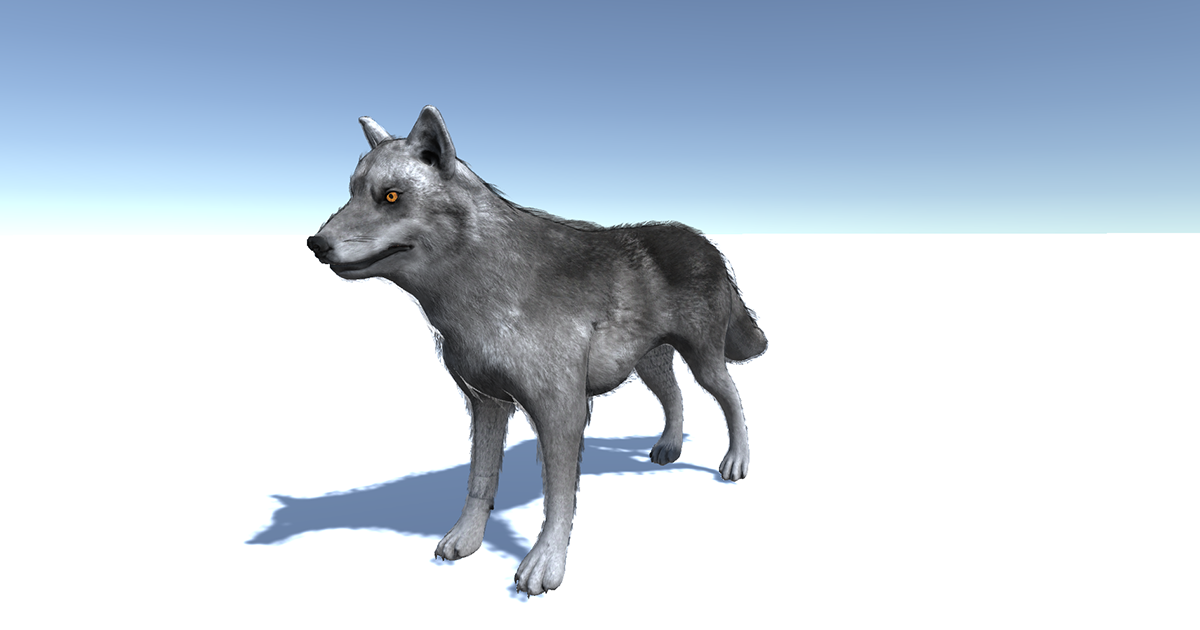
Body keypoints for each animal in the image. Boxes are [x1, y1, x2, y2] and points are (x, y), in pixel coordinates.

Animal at [307, 106, 767, 595]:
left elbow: (559, 496)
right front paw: (466, 538)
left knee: (731, 396)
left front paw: (545, 564)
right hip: (648, 364)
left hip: (703, 360)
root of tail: (703, 241)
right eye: (353, 193)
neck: (484, 292)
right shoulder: (486, 403)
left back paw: (736, 461)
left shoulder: (561, 411)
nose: (315, 243)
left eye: (390, 197)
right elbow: (481, 480)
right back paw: (668, 447)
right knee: (675, 396)